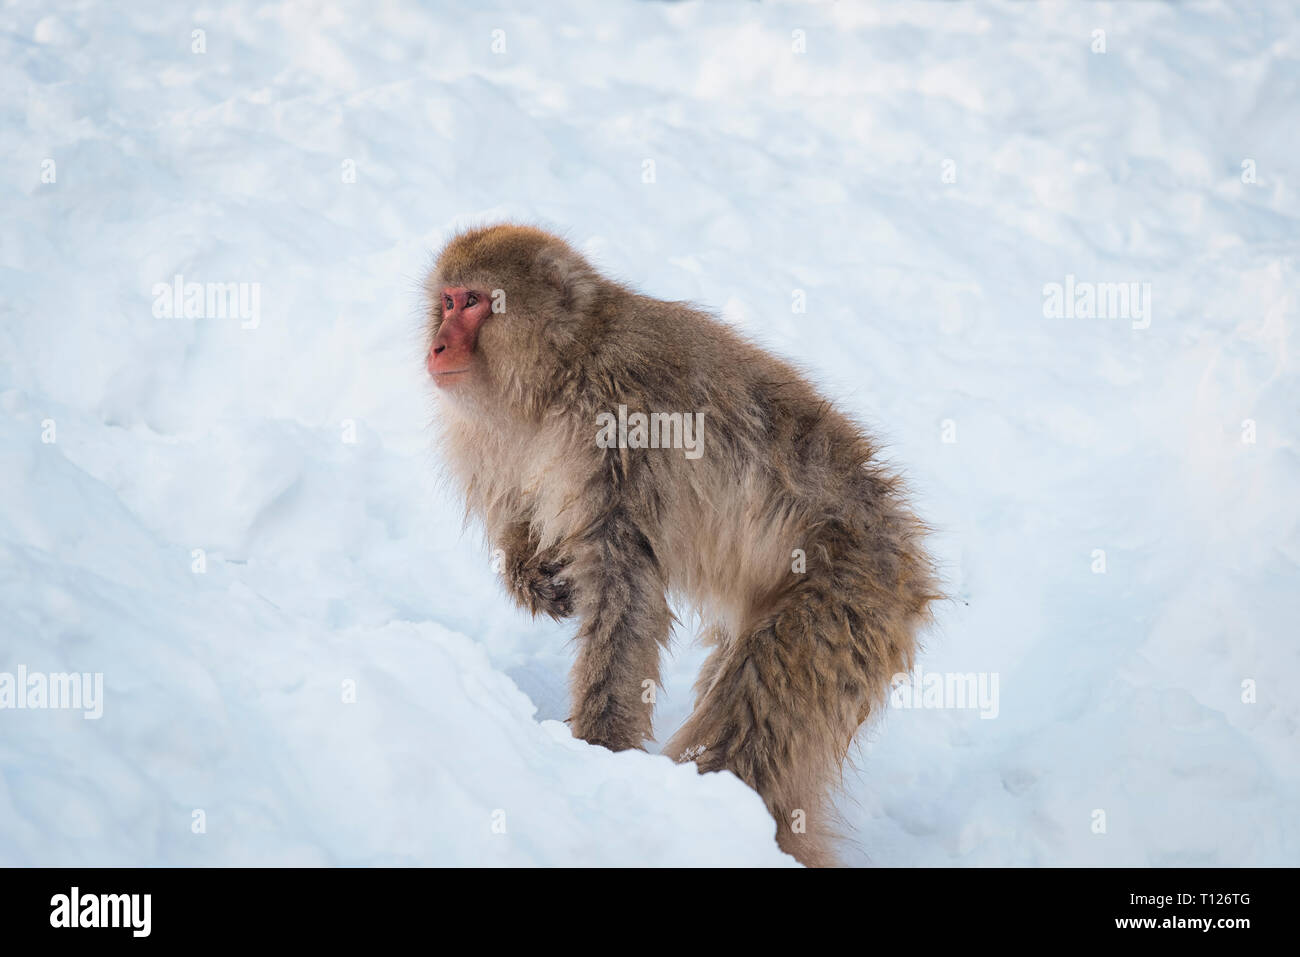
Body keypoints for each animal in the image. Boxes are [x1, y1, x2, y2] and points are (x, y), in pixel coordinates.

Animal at [424, 224, 940, 866]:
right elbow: (529, 518)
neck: (560, 373)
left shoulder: (620, 428)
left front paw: (599, 751)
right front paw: (534, 576)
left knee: (754, 726)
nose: (437, 345)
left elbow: (625, 583)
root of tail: (900, 550)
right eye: (446, 301)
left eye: (472, 302)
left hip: (845, 609)